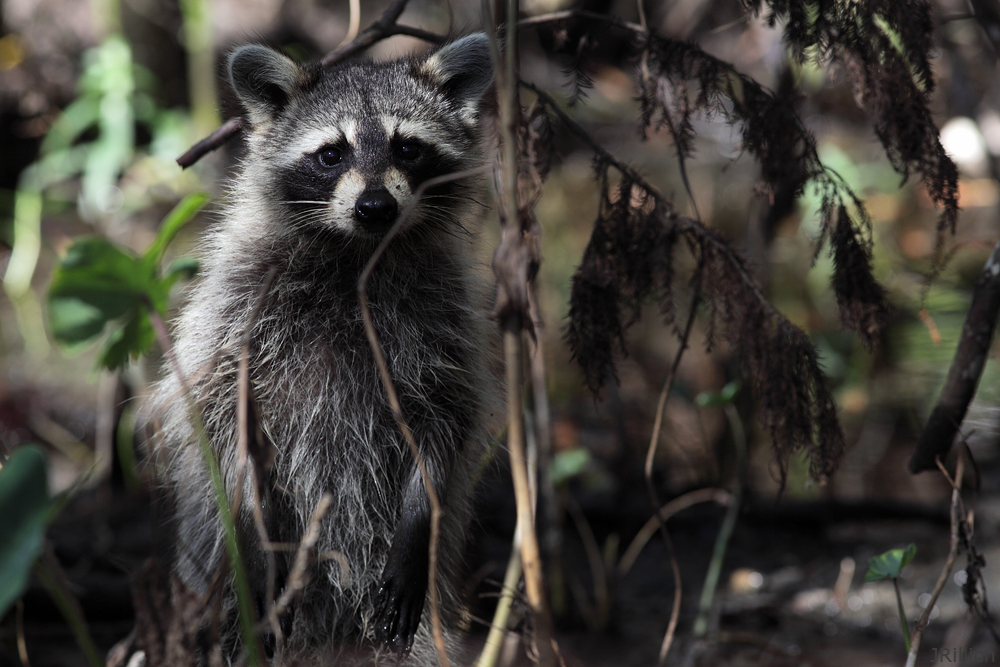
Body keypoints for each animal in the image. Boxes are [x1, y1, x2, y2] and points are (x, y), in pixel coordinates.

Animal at [145, 34, 496, 665]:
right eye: (332, 154)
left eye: (408, 148)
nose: (376, 206)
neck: (357, 253)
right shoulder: (236, 311)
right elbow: (225, 420)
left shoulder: (446, 318)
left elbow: (444, 417)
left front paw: (419, 518)